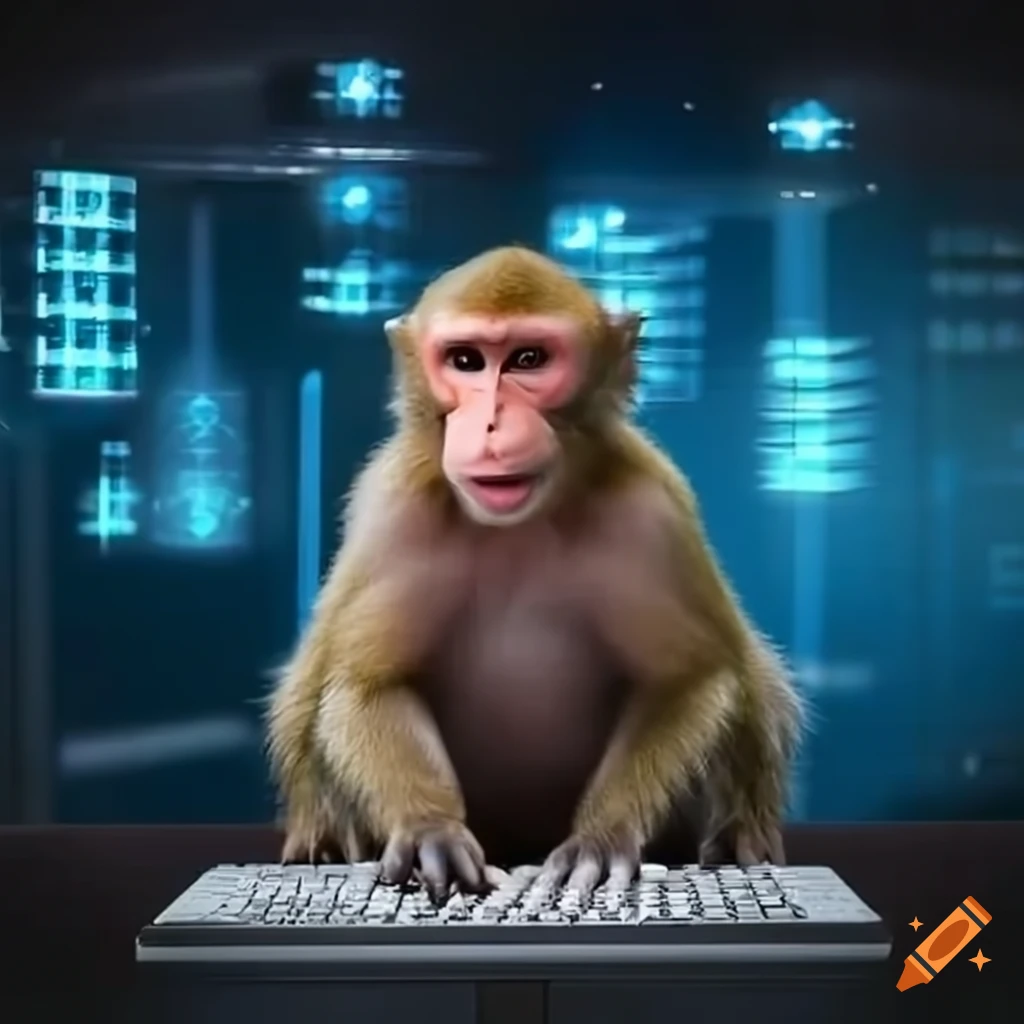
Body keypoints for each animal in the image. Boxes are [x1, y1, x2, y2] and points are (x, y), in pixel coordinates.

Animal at [266, 245, 803, 901]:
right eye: (466, 361)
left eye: (529, 360)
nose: (491, 423)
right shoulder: (397, 507)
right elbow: (368, 681)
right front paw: (428, 829)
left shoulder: (650, 507)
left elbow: (687, 679)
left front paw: (600, 837)